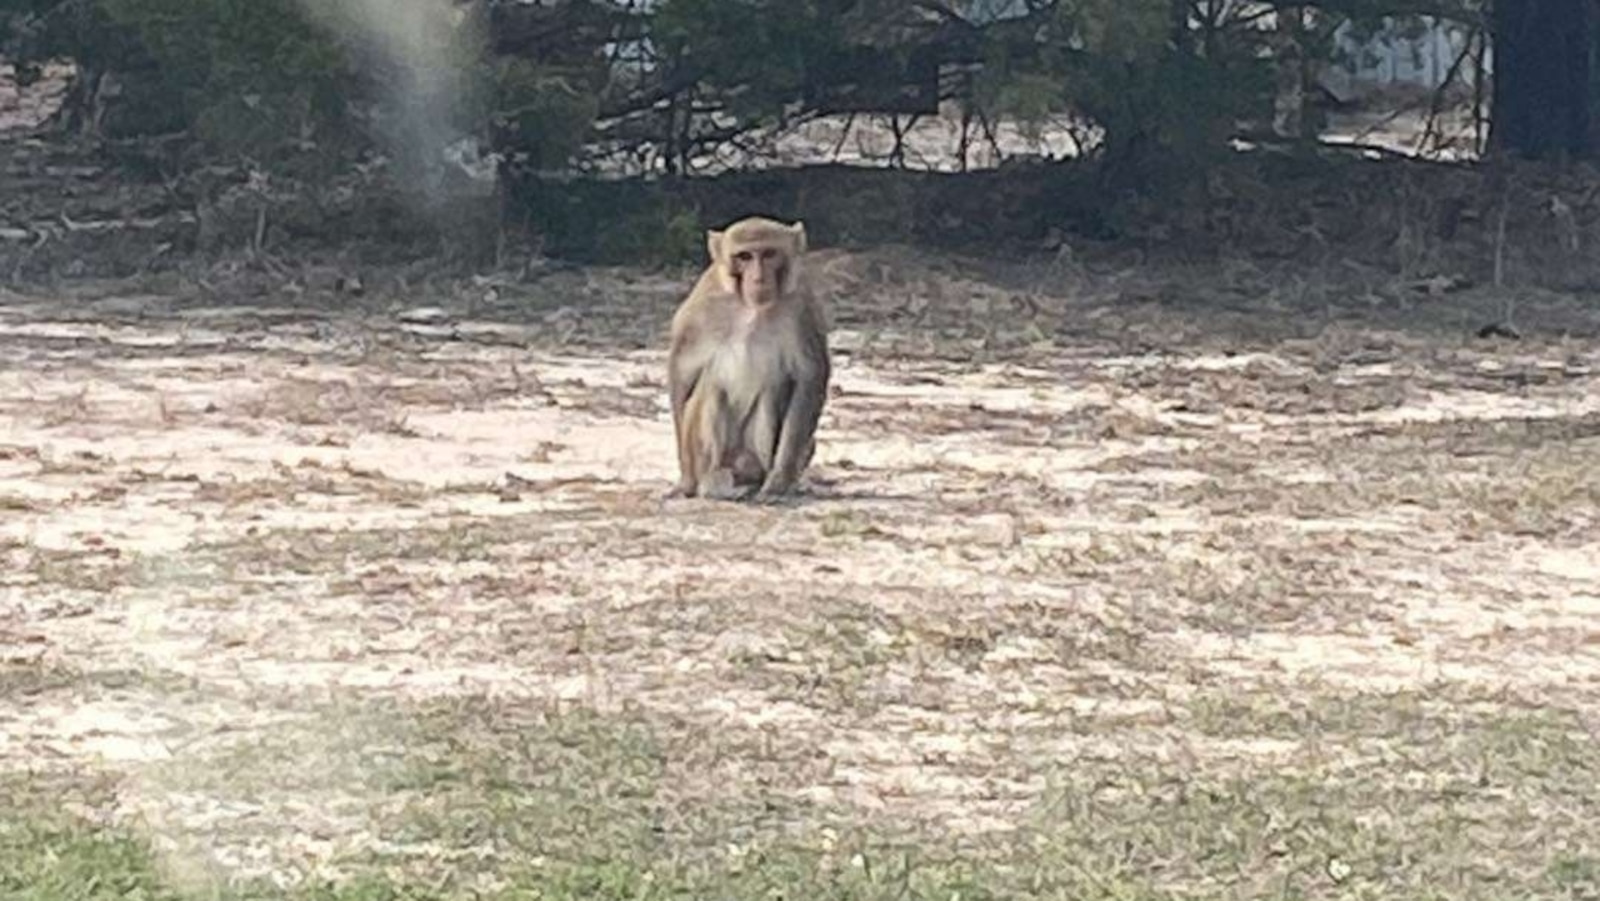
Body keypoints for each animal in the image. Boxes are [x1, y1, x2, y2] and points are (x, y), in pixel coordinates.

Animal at [665, 216, 831, 503]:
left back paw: (756, 477)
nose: (759, 278)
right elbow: (682, 373)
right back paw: (714, 481)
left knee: (769, 393)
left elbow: (809, 377)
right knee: (711, 386)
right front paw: (685, 481)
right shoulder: (703, 306)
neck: (751, 307)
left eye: (769, 254)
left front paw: (778, 482)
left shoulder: (801, 305)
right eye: (744, 256)